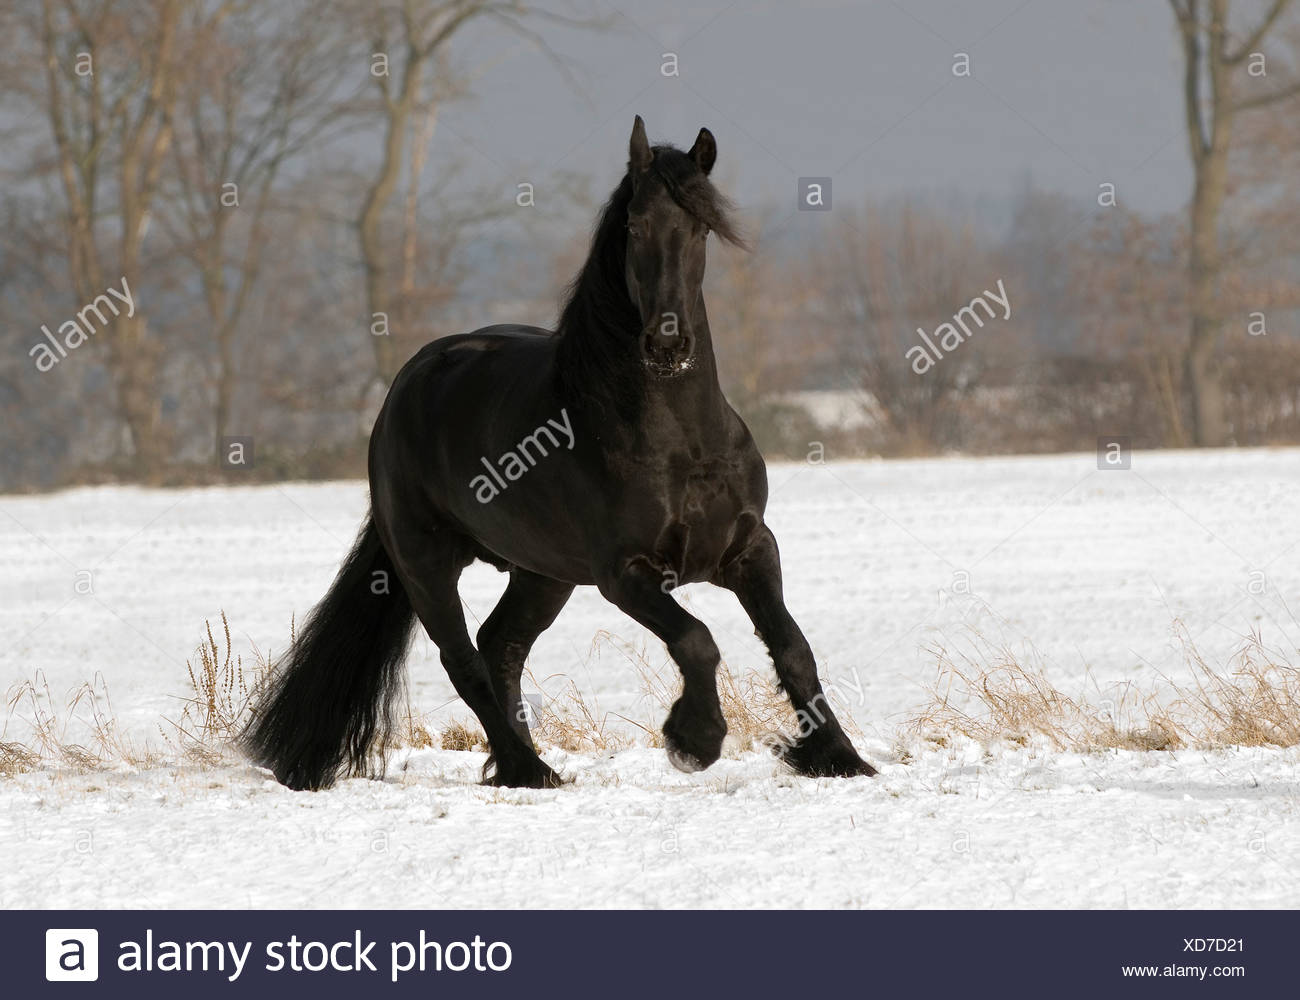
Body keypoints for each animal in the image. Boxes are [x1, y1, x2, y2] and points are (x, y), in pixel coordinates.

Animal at [241, 117, 877, 790]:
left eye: (700, 227)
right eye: (634, 226)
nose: (667, 343)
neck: (682, 442)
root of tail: (405, 389)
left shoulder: (752, 550)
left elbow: (794, 648)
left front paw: (839, 757)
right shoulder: (625, 573)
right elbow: (696, 639)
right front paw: (693, 742)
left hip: (540, 572)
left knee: (501, 646)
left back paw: (523, 764)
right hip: (426, 562)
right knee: (463, 659)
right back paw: (527, 767)